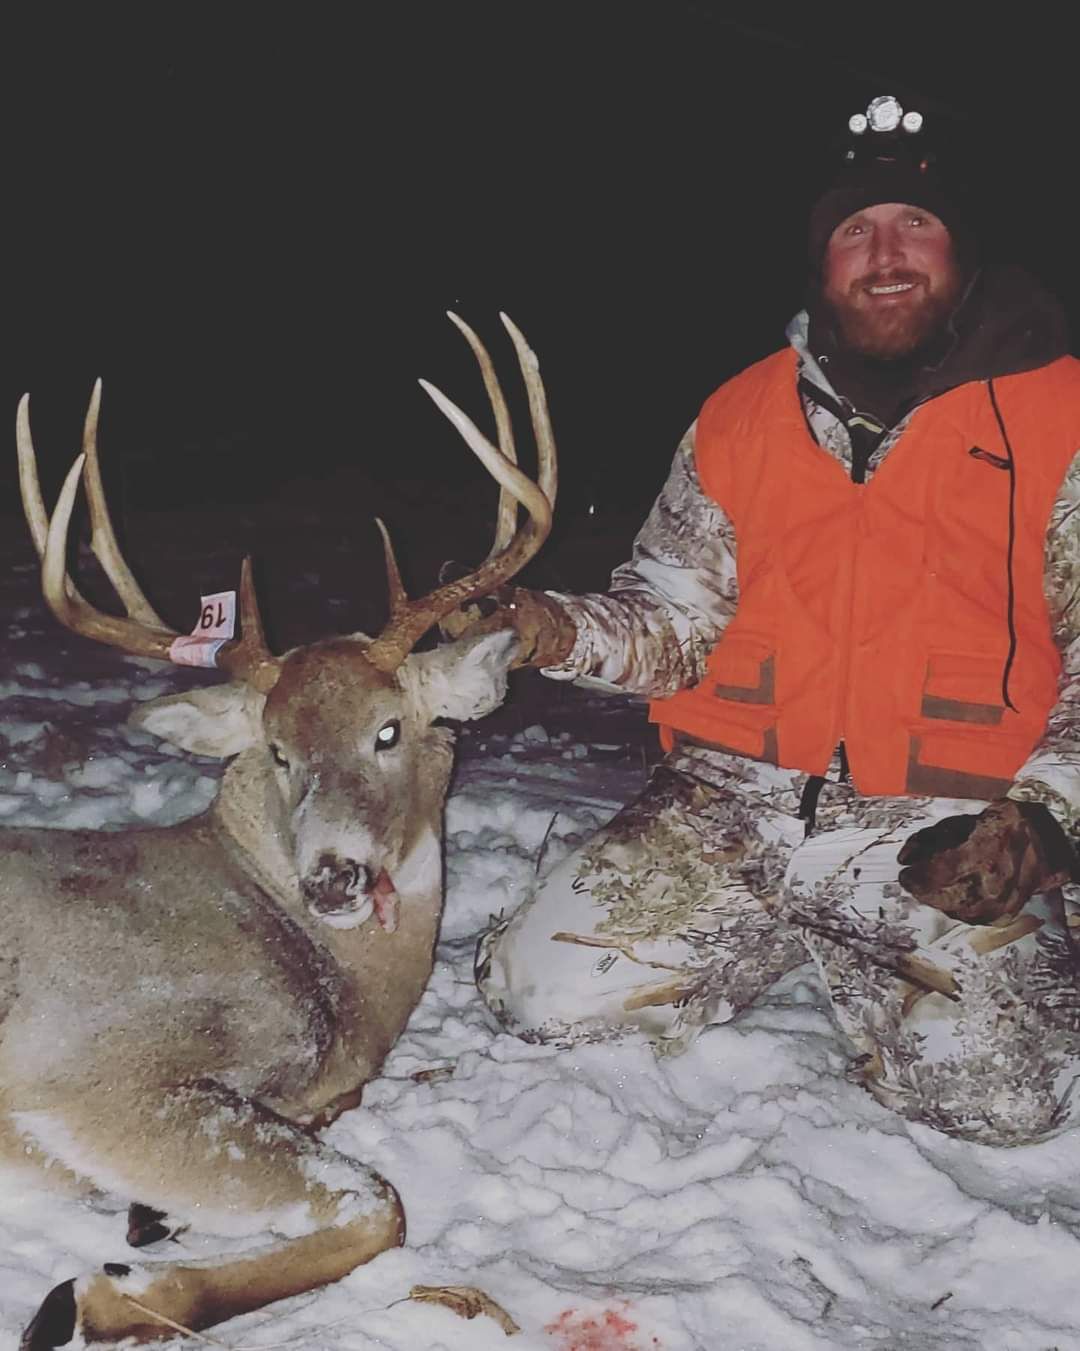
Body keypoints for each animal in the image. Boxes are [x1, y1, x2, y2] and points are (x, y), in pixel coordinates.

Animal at [5, 313, 556, 1348]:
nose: (333, 876)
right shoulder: (97, 1073)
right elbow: (377, 1205)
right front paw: (91, 1297)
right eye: (277, 749)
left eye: (391, 729)